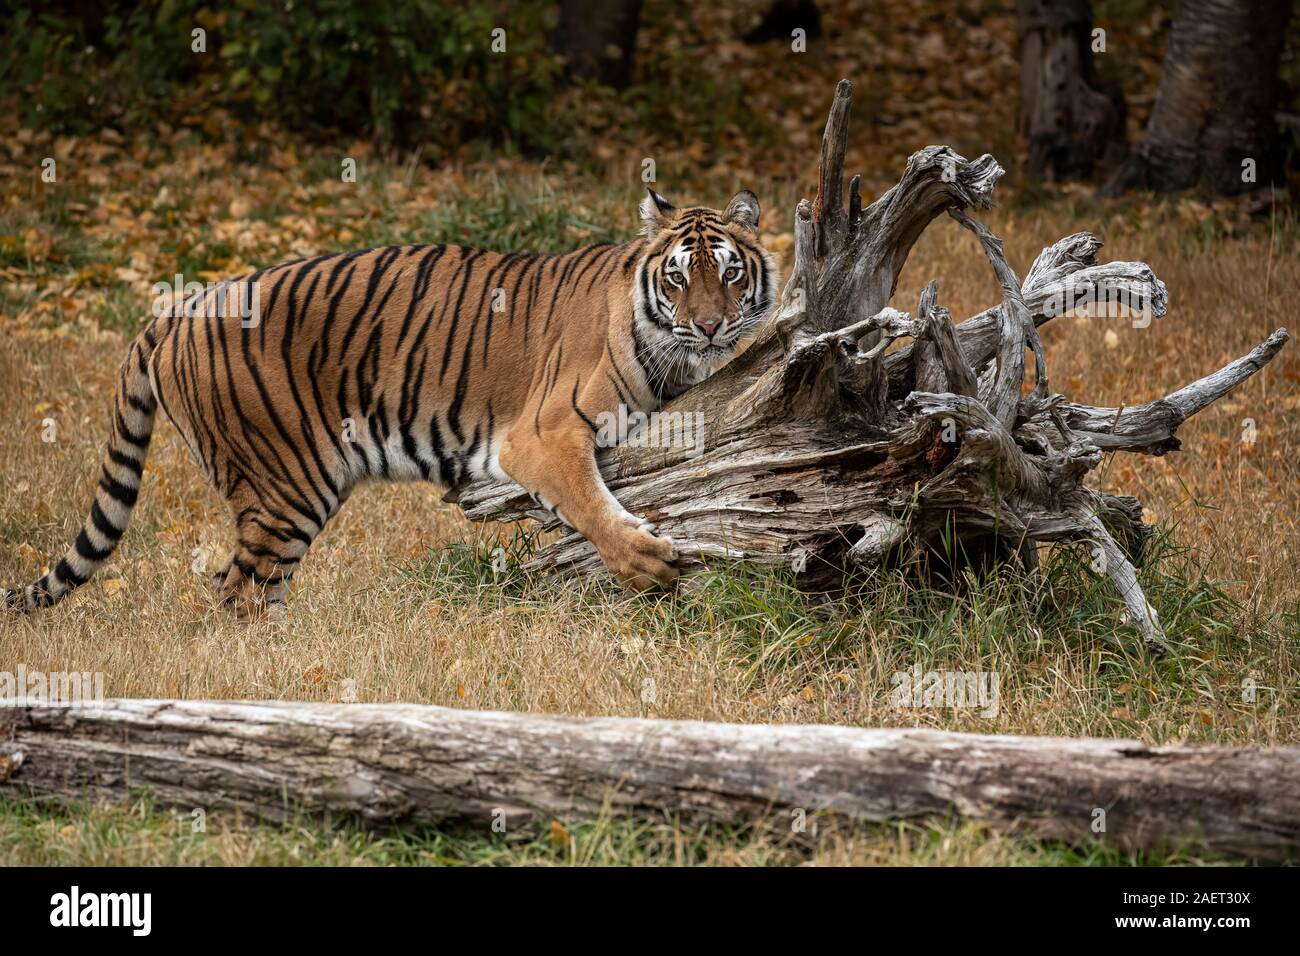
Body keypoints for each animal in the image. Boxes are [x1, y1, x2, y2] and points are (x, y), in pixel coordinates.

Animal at [3, 188, 778, 615]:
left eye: (730, 274)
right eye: (678, 278)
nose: (711, 326)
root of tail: (179, 305)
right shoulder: (541, 435)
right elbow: (590, 504)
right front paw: (647, 563)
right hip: (286, 484)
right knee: (239, 592)